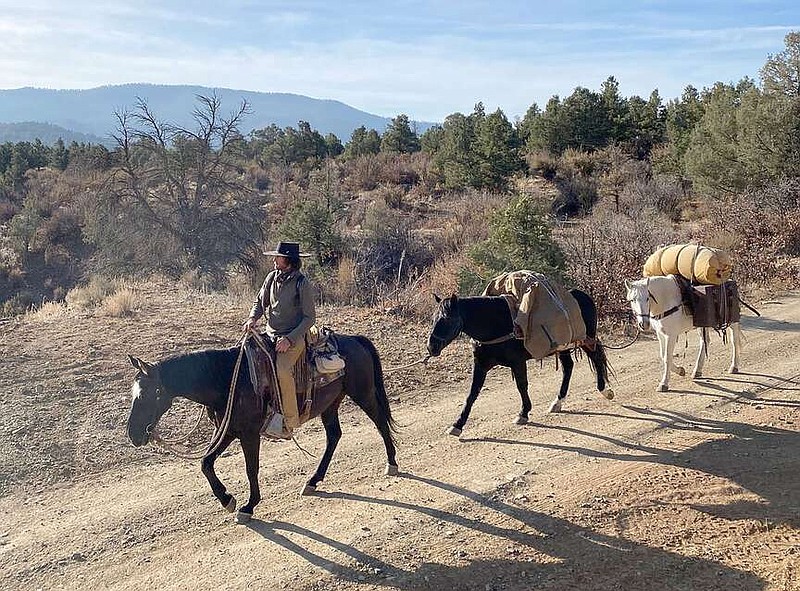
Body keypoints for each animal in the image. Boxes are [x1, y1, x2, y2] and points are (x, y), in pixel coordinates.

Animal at [126, 333, 399, 523]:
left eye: (148, 394)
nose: (133, 434)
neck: (226, 380)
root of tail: (355, 340)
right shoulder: (228, 431)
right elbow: (206, 463)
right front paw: (227, 499)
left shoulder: (248, 434)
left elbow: (251, 468)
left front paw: (248, 506)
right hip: (331, 403)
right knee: (334, 436)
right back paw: (313, 480)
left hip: (363, 393)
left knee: (380, 423)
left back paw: (392, 463)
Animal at [426, 290, 613, 436]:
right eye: (433, 318)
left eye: (447, 319)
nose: (431, 347)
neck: (496, 325)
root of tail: (584, 296)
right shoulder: (480, 365)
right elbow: (472, 394)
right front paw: (457, 424)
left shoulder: (517, 362)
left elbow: (522, 385)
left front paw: (523, 413)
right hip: (564, 347)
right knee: (568, 367)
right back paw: (557, 402)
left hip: (586, 340)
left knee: (596, 358)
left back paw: (604, 390)